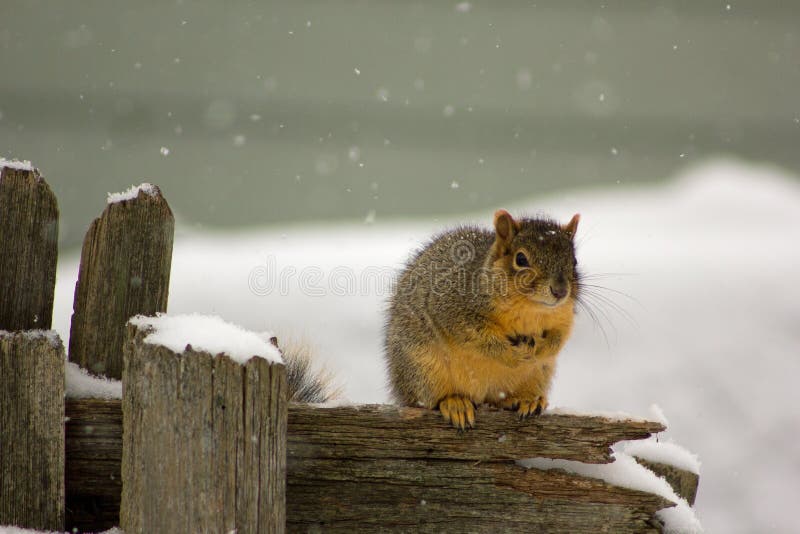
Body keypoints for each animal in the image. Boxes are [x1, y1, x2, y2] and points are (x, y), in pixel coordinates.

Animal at [384, 209, 580, 429]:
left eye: (574, 262)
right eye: (521, 259)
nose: (560, 291)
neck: (531, 308)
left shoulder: (564, 315)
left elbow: (560, 336)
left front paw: (544, 349)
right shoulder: (451, 308)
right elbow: (479, 338)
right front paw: (513, 356)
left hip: (538, 374)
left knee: (498, 399)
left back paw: (525, 400)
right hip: (422, 366)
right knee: (431, 399)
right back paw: (455, 403)